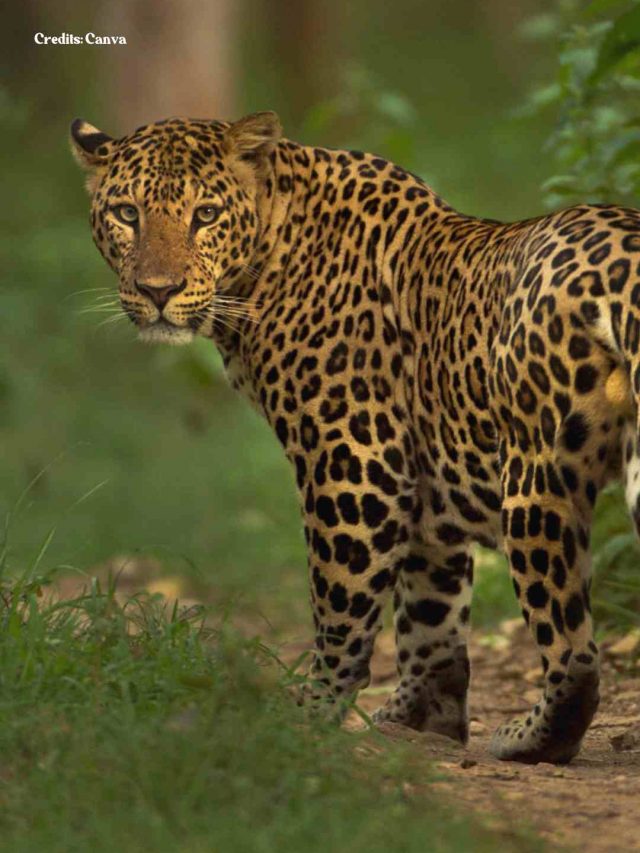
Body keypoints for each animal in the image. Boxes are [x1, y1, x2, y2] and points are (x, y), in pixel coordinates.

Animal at [70, 110, 640, 765]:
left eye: (206, 214)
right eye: (127, 213)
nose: (158, 290)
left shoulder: (356, 461)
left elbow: (341, 602)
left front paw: (311, 712)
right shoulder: (429, 487)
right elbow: (431, 613)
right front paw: (418, 722)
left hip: (535, 474)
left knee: (573, 651)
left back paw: (531, 739)